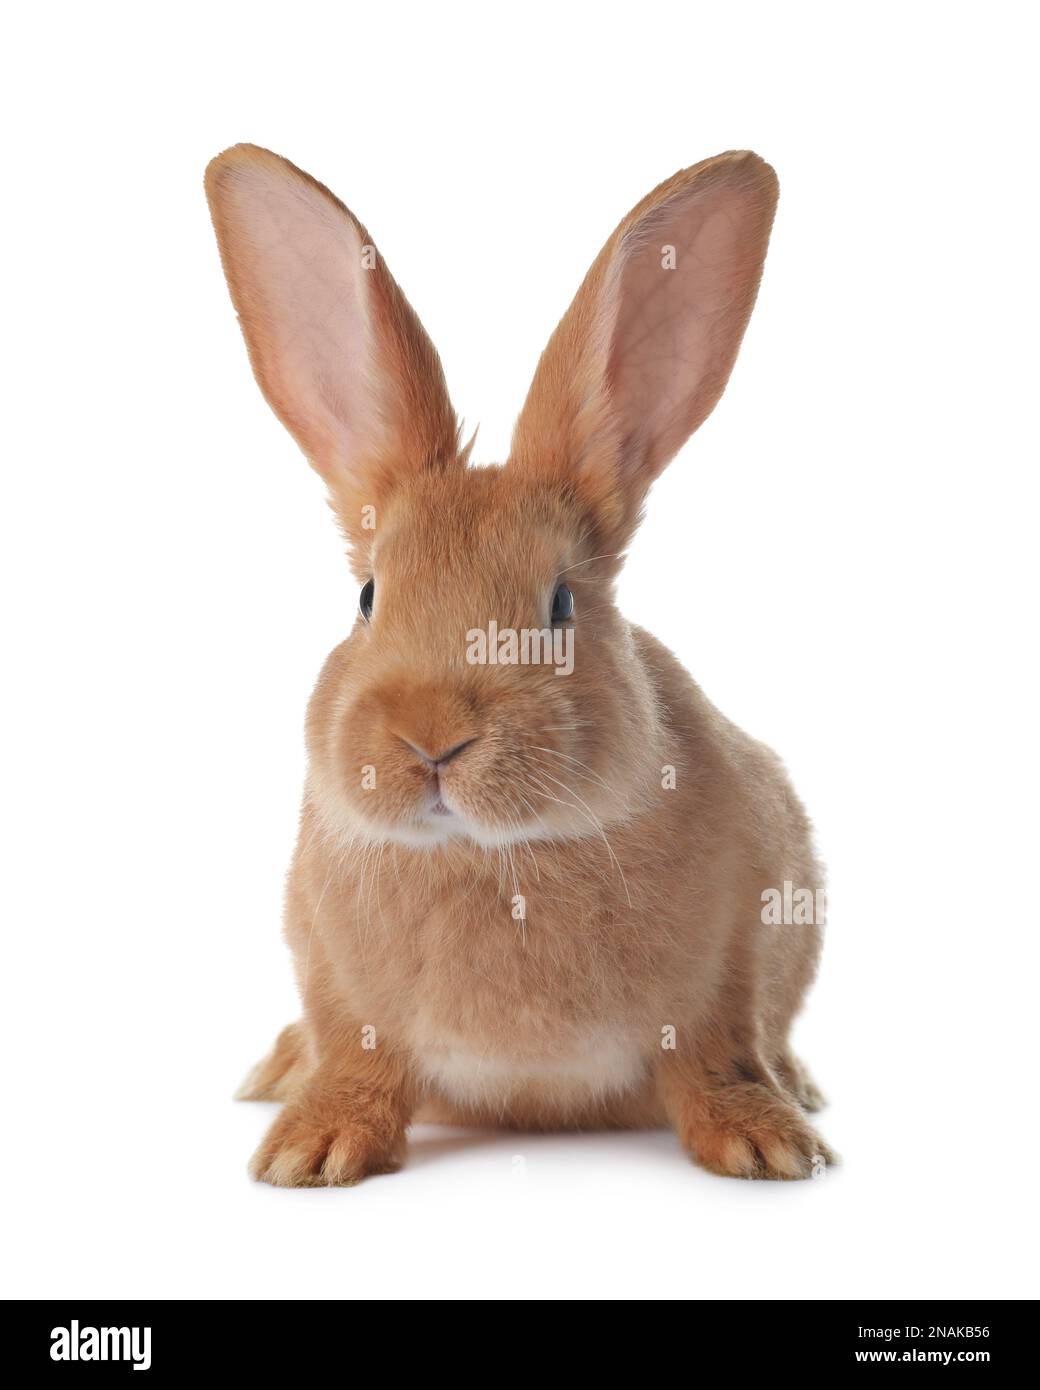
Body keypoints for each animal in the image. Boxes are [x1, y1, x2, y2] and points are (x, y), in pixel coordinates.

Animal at [205, 143, 832, 1185]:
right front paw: (312, 1148)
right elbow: (357, 1061)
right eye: (367, 598)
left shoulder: (735, 960)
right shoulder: (334, 978)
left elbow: (717, 1057)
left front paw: (767, 1144)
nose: (431, 738)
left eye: (562, 605)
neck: (489, 854)